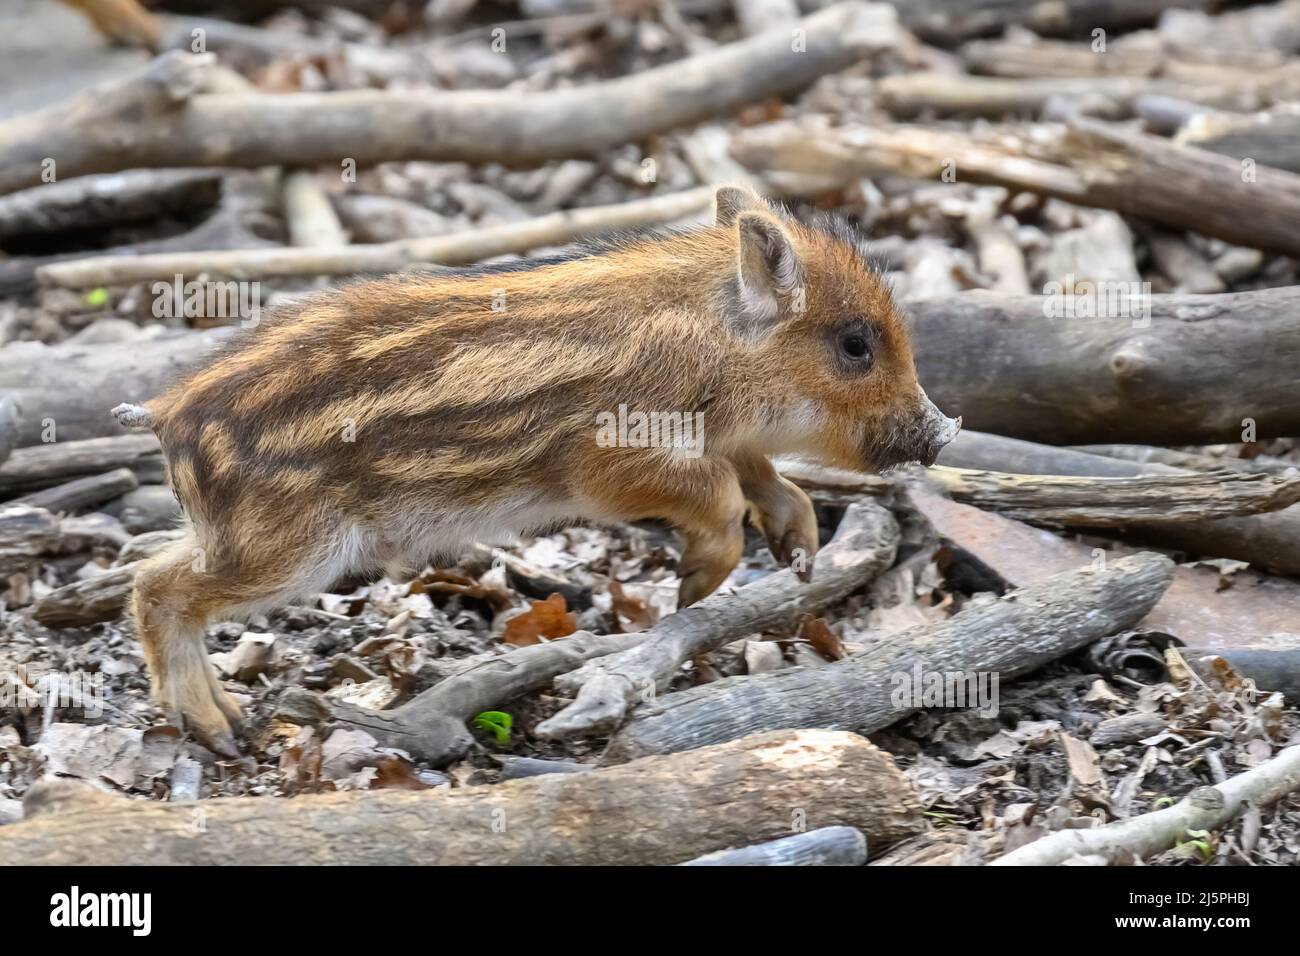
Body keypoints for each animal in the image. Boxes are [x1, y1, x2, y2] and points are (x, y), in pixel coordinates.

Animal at [119, 185, 960, 754]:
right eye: (855, 344)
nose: (940, 433)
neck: (710, 341)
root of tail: (169, 418)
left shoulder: (722, 438)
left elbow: (758, 473)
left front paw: (801, 551)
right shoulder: (604, 462)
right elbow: (715, 491)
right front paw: (693, 589)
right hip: (288, 546)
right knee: (155, 585)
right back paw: (214, 726)